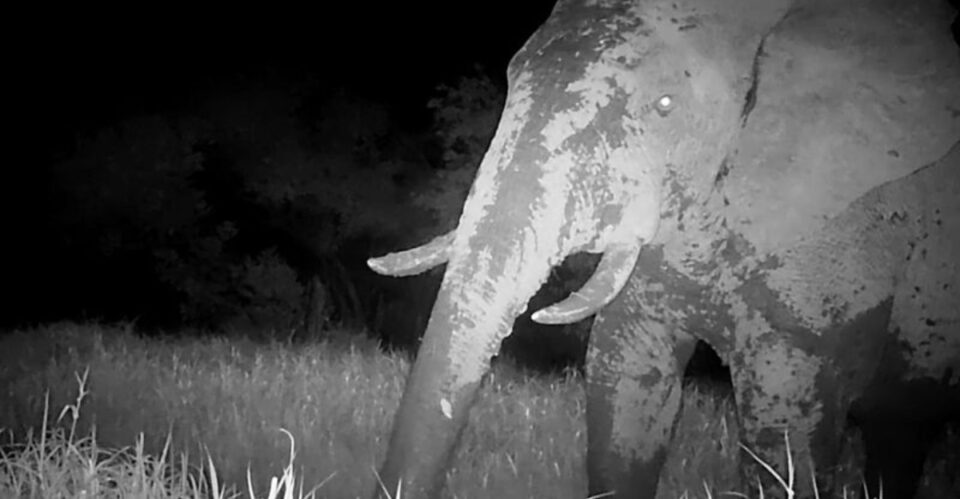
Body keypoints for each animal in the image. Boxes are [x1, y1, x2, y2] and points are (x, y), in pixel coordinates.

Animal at [367, 0, 960, 497]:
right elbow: (625, 386)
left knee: (902, 425)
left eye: (666, 105)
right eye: (513, 84)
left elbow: (784, 429)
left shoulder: (839, 231)